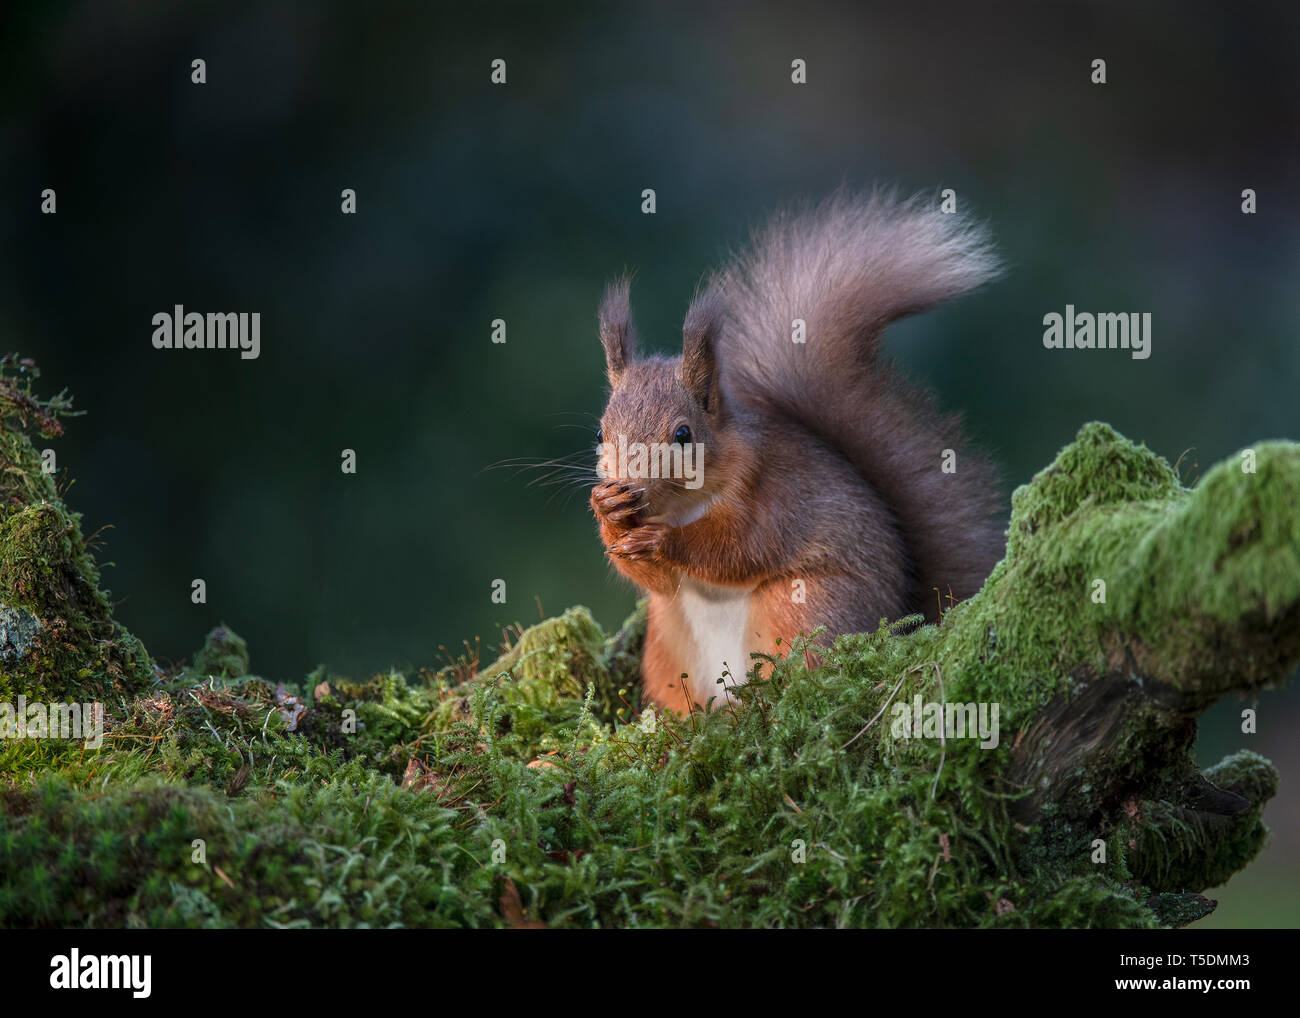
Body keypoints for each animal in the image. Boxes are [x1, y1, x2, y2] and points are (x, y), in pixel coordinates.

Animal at [590, 189, 1005, 714]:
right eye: (601, 434)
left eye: (683, 434)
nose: (627, 485)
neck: (681, 506)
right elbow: (658, 582)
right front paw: (608, 511)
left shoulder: (769, 490)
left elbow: (740, 548)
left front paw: (664, 540)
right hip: (666, 642)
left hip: (805, 606)